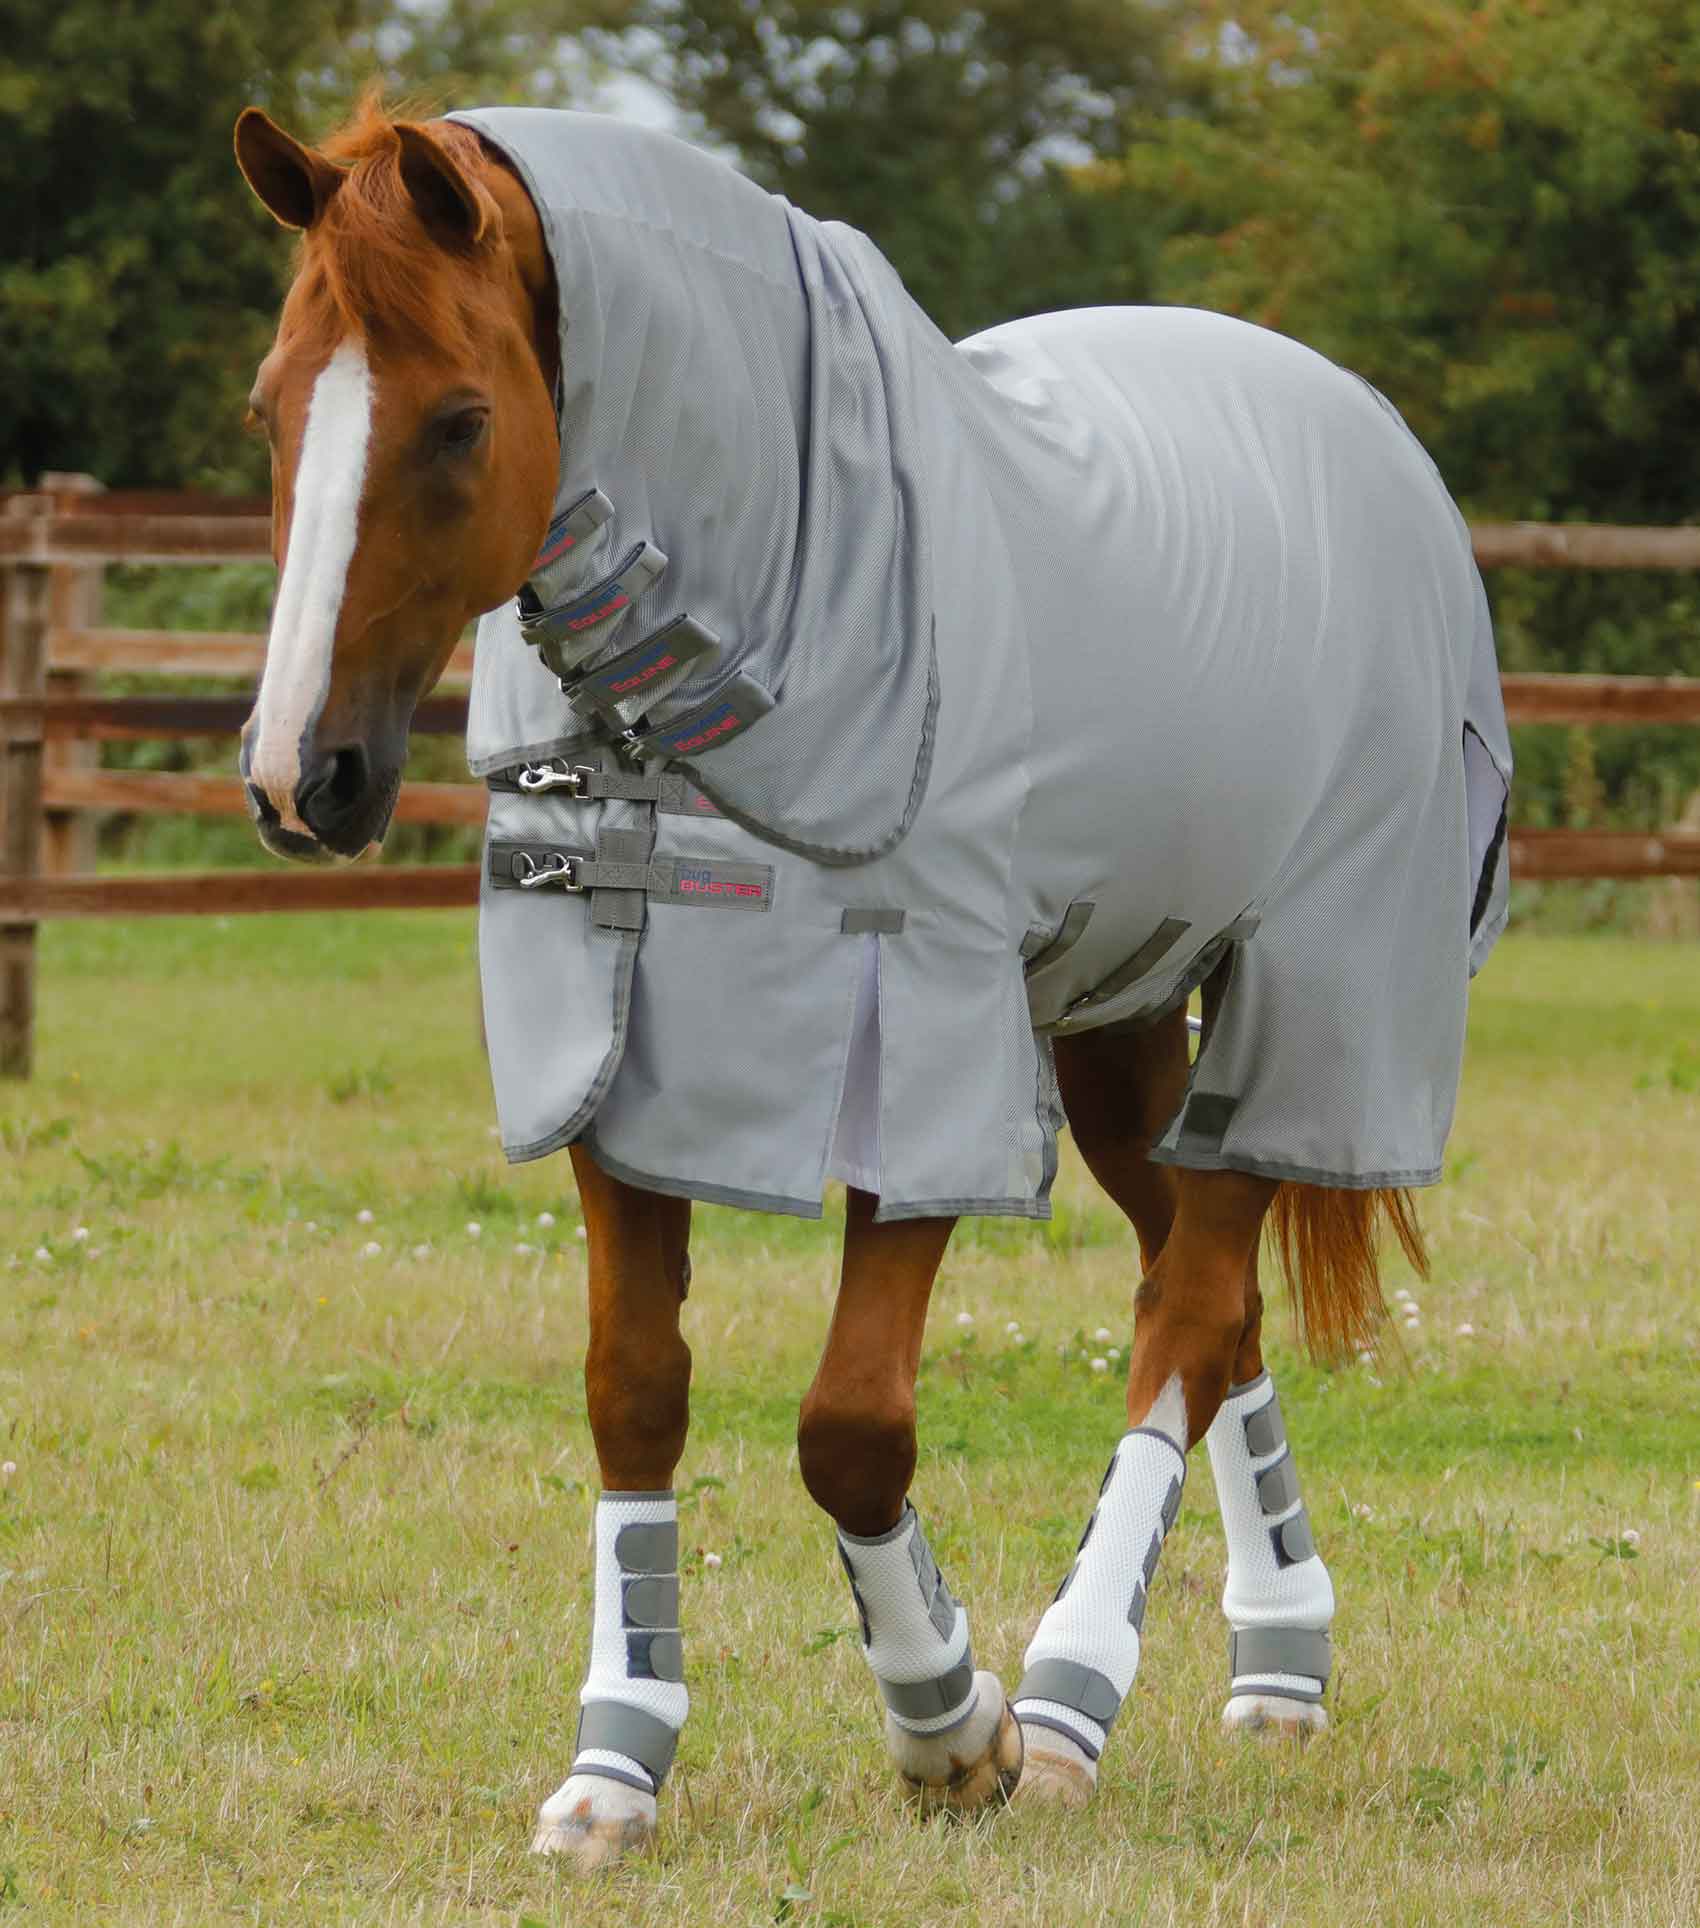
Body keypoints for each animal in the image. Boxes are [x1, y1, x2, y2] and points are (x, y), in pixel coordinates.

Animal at [232, 96, 1512, 1872]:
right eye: (275, 408)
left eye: (462, 420)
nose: (302, 779)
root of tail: (1367, 433)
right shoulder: (618, 1054)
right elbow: (634, 1391)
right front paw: (615, 1762)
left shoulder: (920, 1049)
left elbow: (850, 1428)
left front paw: (950, 1732)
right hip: (1121, 1016)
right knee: (1209, 1297)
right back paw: (1279, 1662)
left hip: (1311, 999)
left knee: (1193, 1300)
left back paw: (1069, 1699)